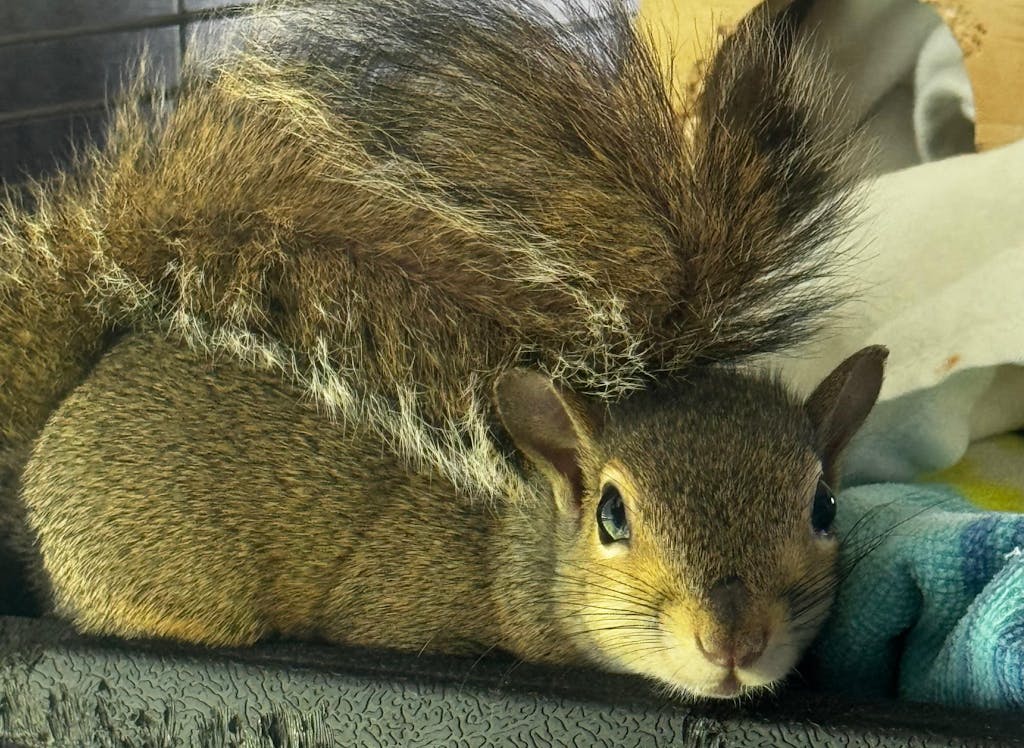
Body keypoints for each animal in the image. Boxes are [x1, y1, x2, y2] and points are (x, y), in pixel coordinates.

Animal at [0, 0, 883, 698]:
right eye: (611, 515)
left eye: (824, 507)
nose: (732, 641)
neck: (515, 543)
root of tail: (50, 432)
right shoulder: (396, 599)